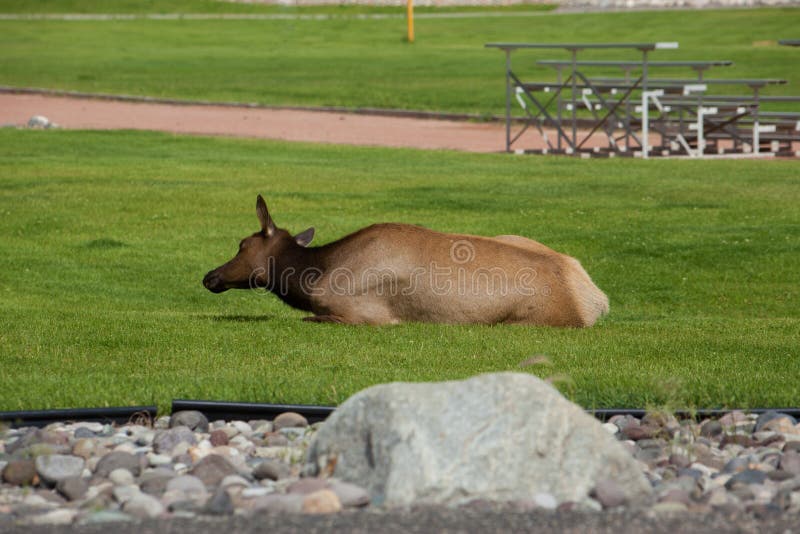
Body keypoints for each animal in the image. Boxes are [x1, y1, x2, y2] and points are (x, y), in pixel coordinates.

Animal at [202, 195, 609, 327]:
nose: (210, 276)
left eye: (241, 245)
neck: (312, 275)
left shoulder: (364, 315)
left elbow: (311, 319)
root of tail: (597, 299)